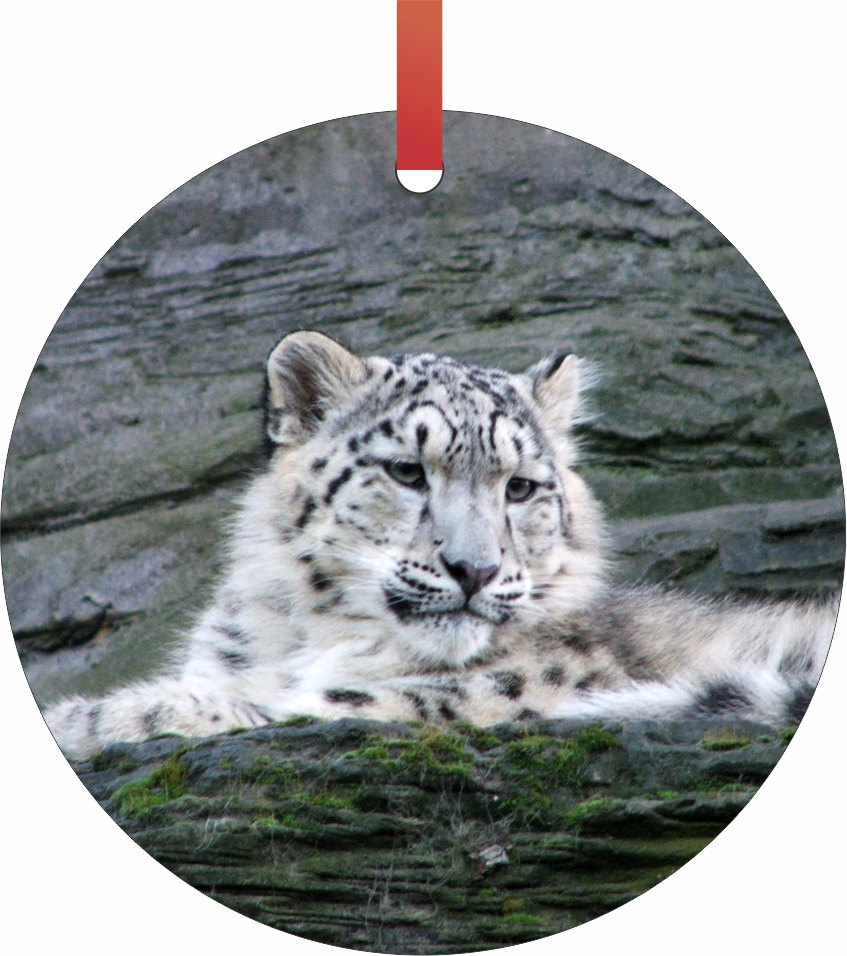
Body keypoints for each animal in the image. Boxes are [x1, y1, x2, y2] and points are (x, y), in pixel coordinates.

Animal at [44, 331, 838, 760]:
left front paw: (93, 715)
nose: (473, 568)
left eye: (520, 487)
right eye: (406, 471)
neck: (305, 638)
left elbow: (296, 706)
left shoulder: (483, 698)